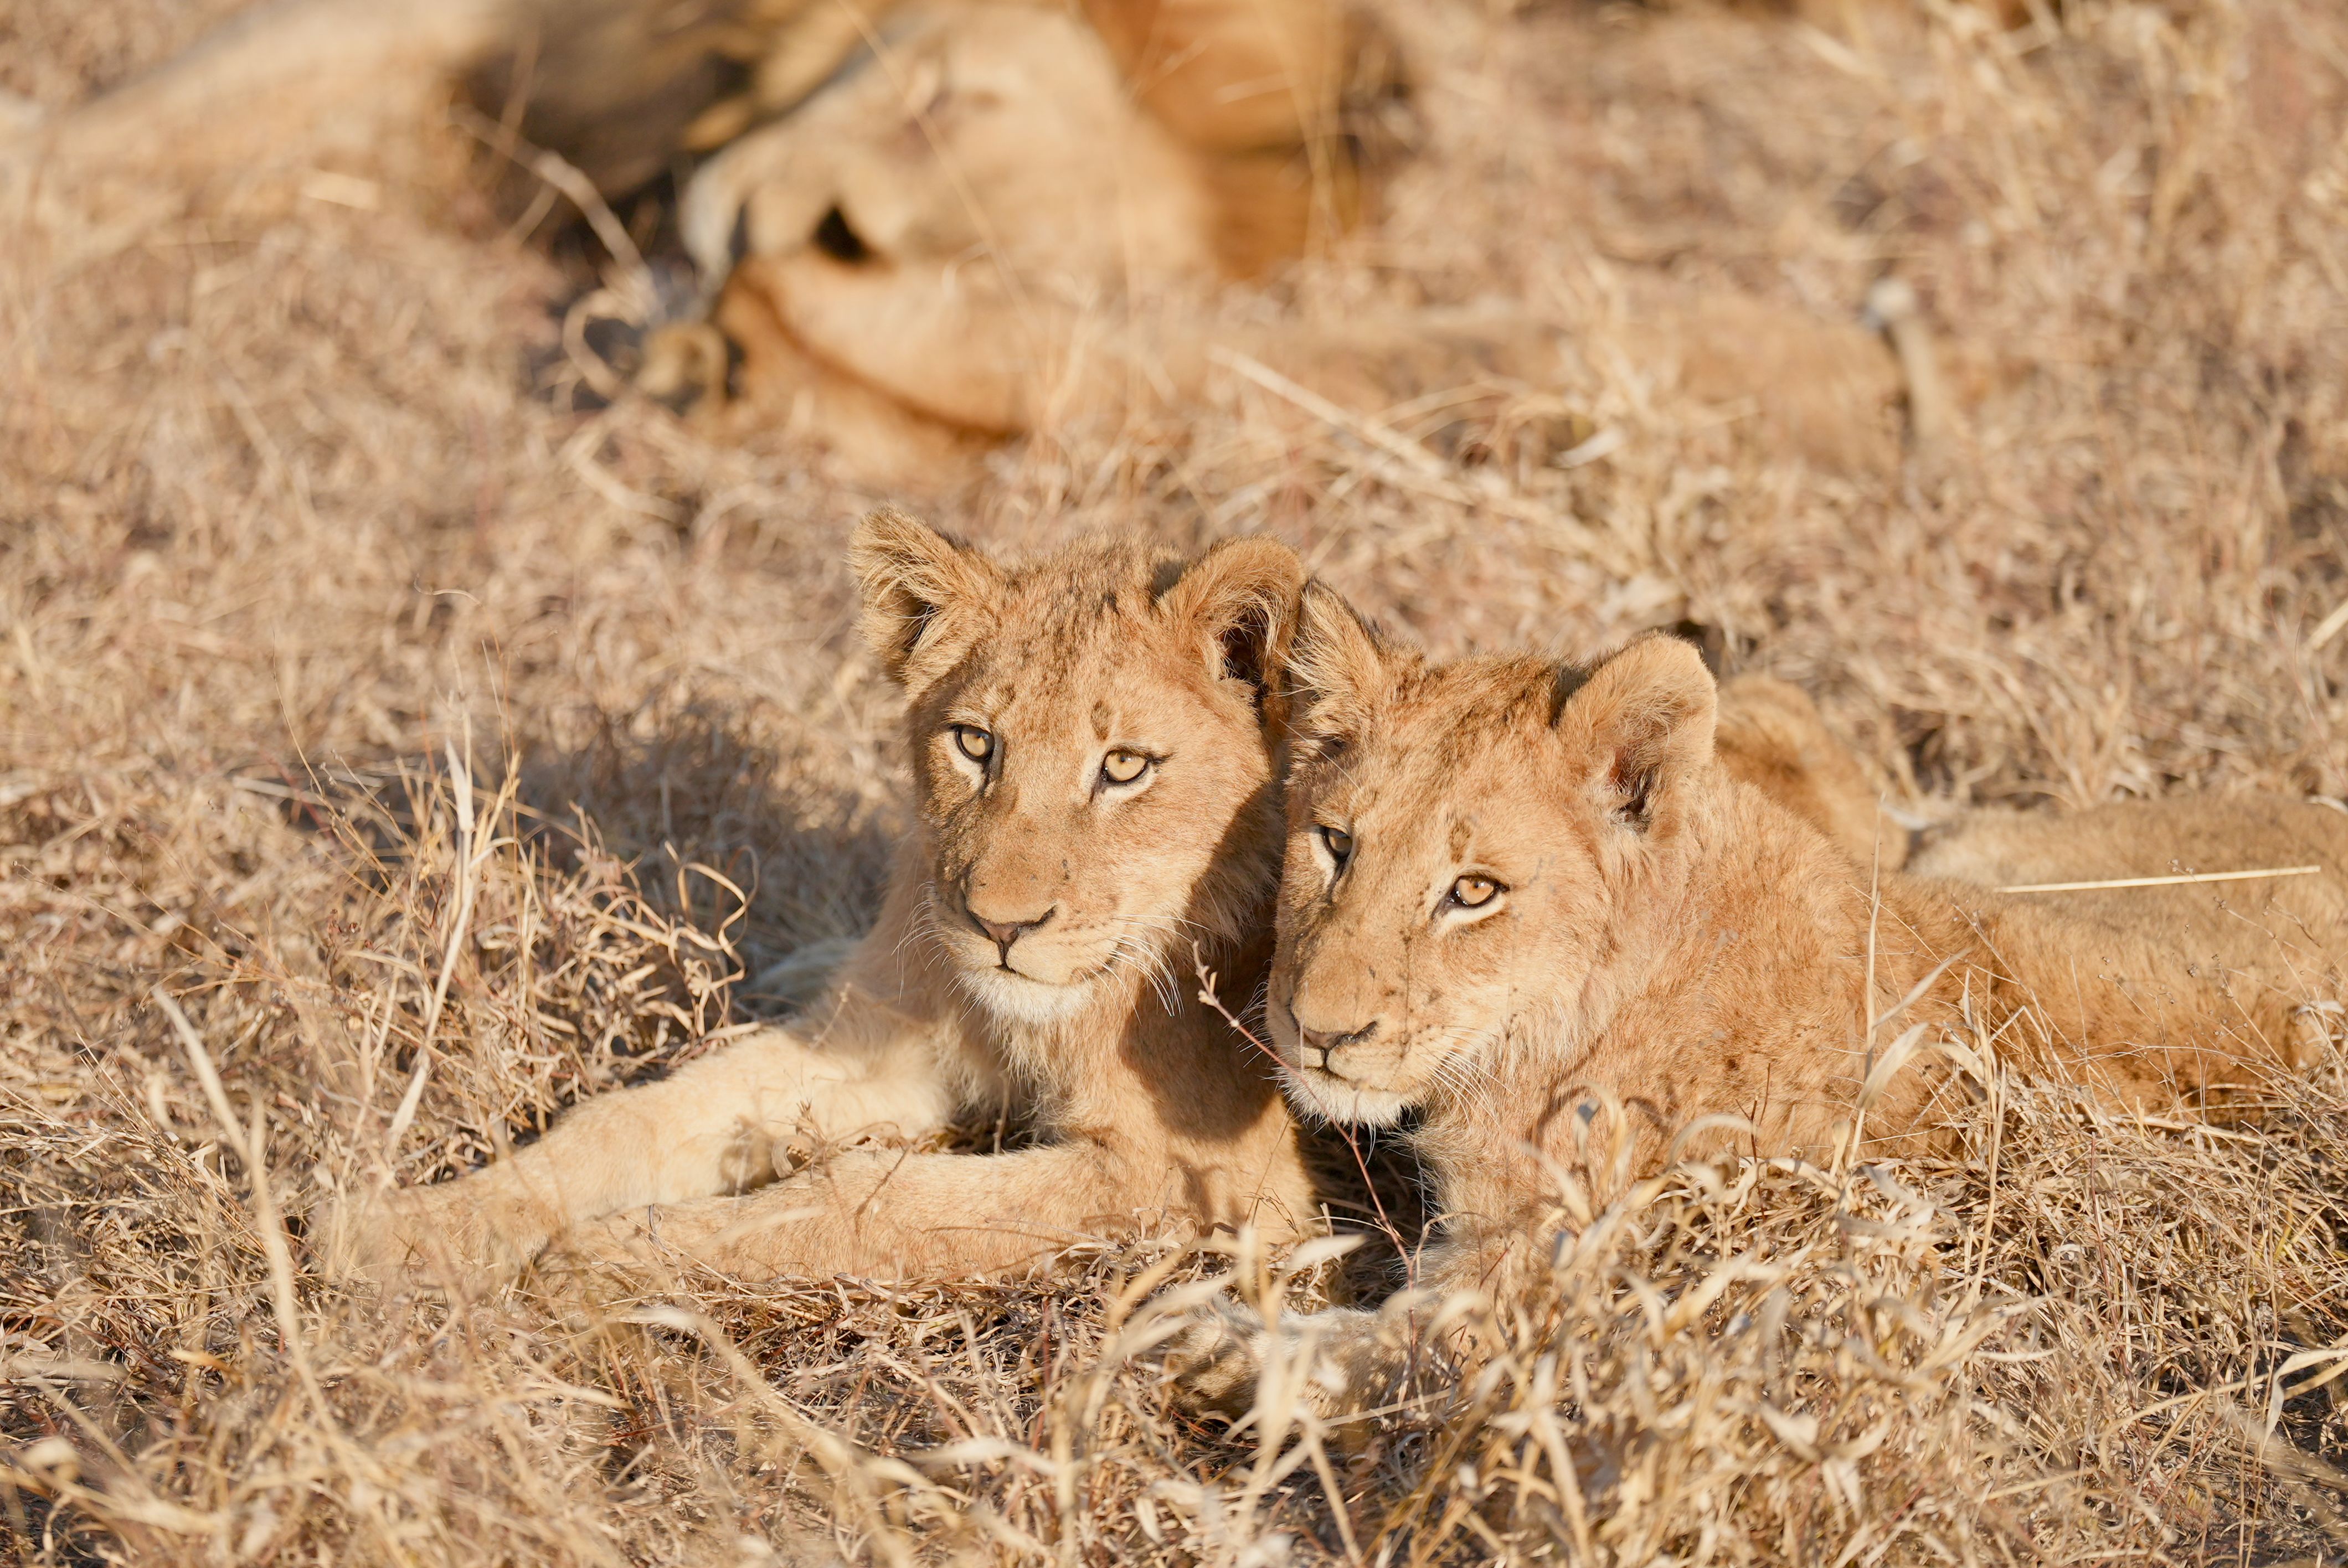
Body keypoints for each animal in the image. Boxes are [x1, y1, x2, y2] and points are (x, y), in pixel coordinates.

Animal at [318, 510, 1327, 1293]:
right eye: (975, 744)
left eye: (1124, 767)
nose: (999, 927)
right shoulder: (885, 1044)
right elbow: (629, 1118)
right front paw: (398, 1227)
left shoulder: (1215, 1178)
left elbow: (878, 1202)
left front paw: (608, 1257)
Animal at [1163, 597, 2348, 1424]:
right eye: (1336, 843)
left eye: (1475, 891)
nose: (1320, 1030)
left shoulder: (1554, 1274)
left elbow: (1378, 1351)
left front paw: (1205, 1343)